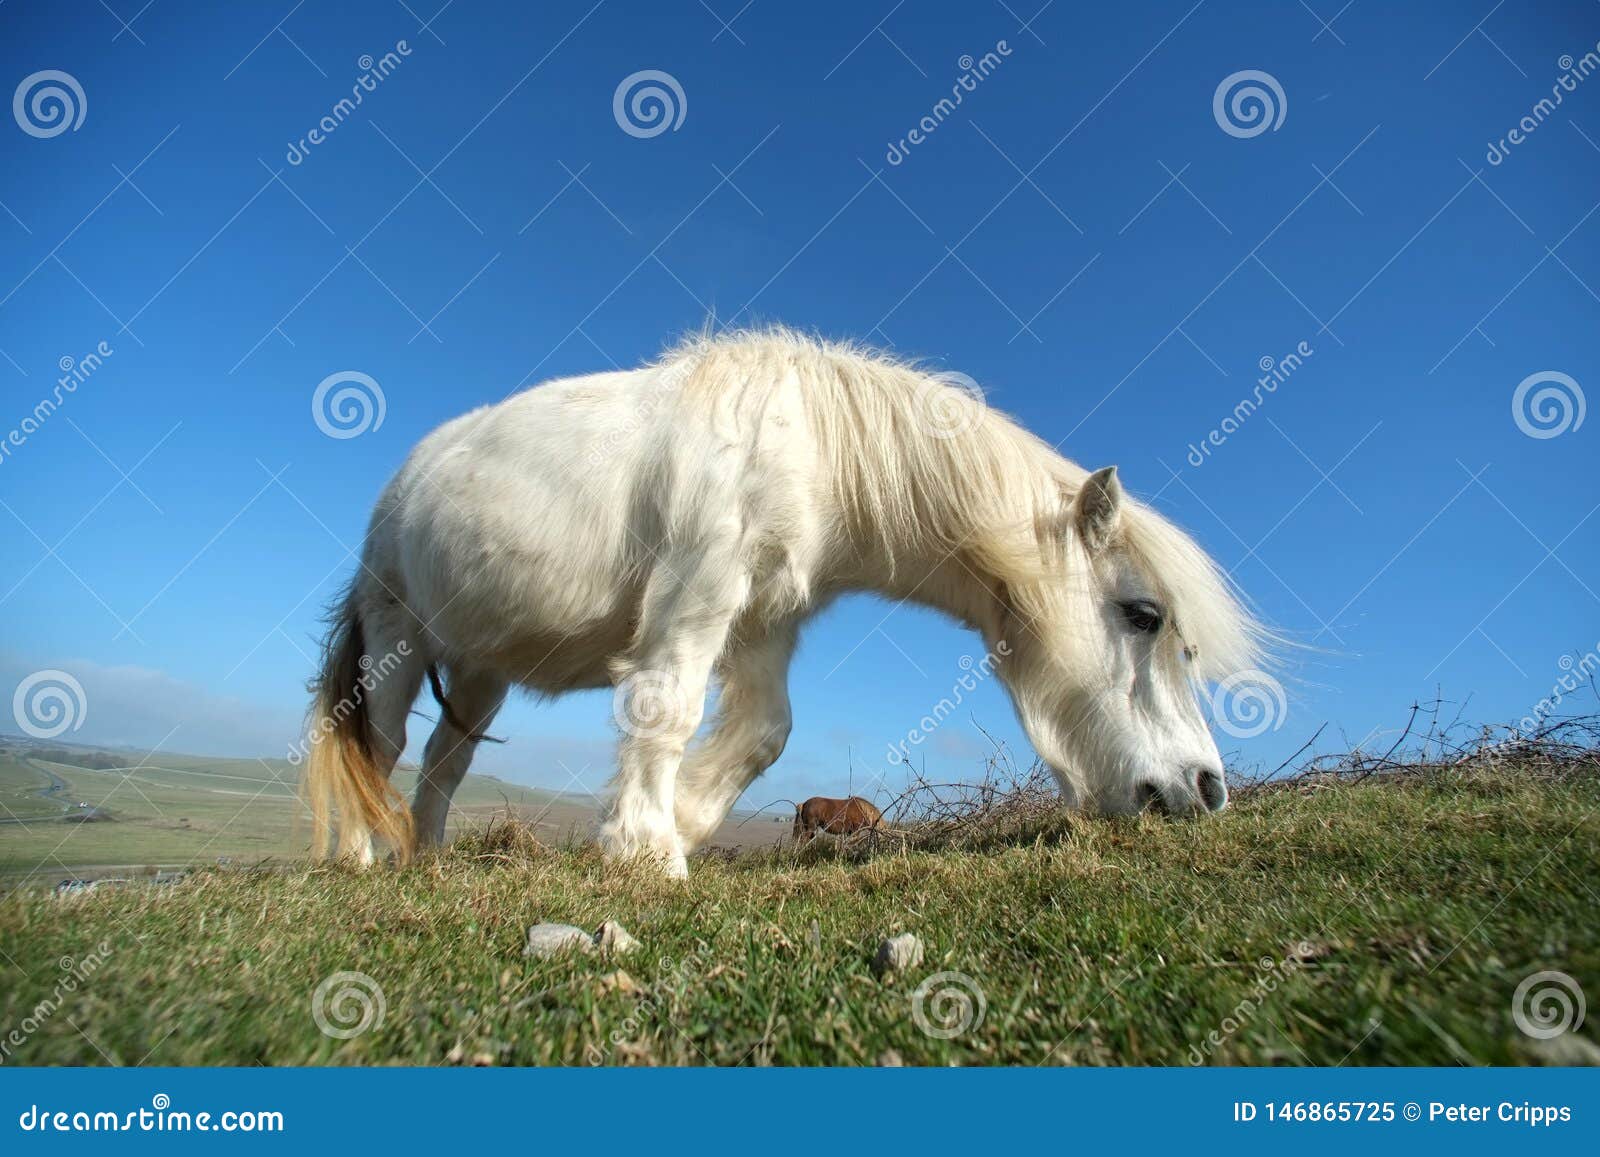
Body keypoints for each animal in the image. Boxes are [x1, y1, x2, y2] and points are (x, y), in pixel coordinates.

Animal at [304, 327, 1265, 876]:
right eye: (1144, 615)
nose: (1208, 787)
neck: (812, 443)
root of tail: (410, 476)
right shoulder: (698, 592)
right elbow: (666, 708)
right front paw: (646, 850)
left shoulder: (764, 619)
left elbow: (765, 732)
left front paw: (679, 822)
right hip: (396, 634)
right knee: (378, 743)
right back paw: (359, 860)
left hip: (480, 670)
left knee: (443, 762)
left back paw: (427, 859)